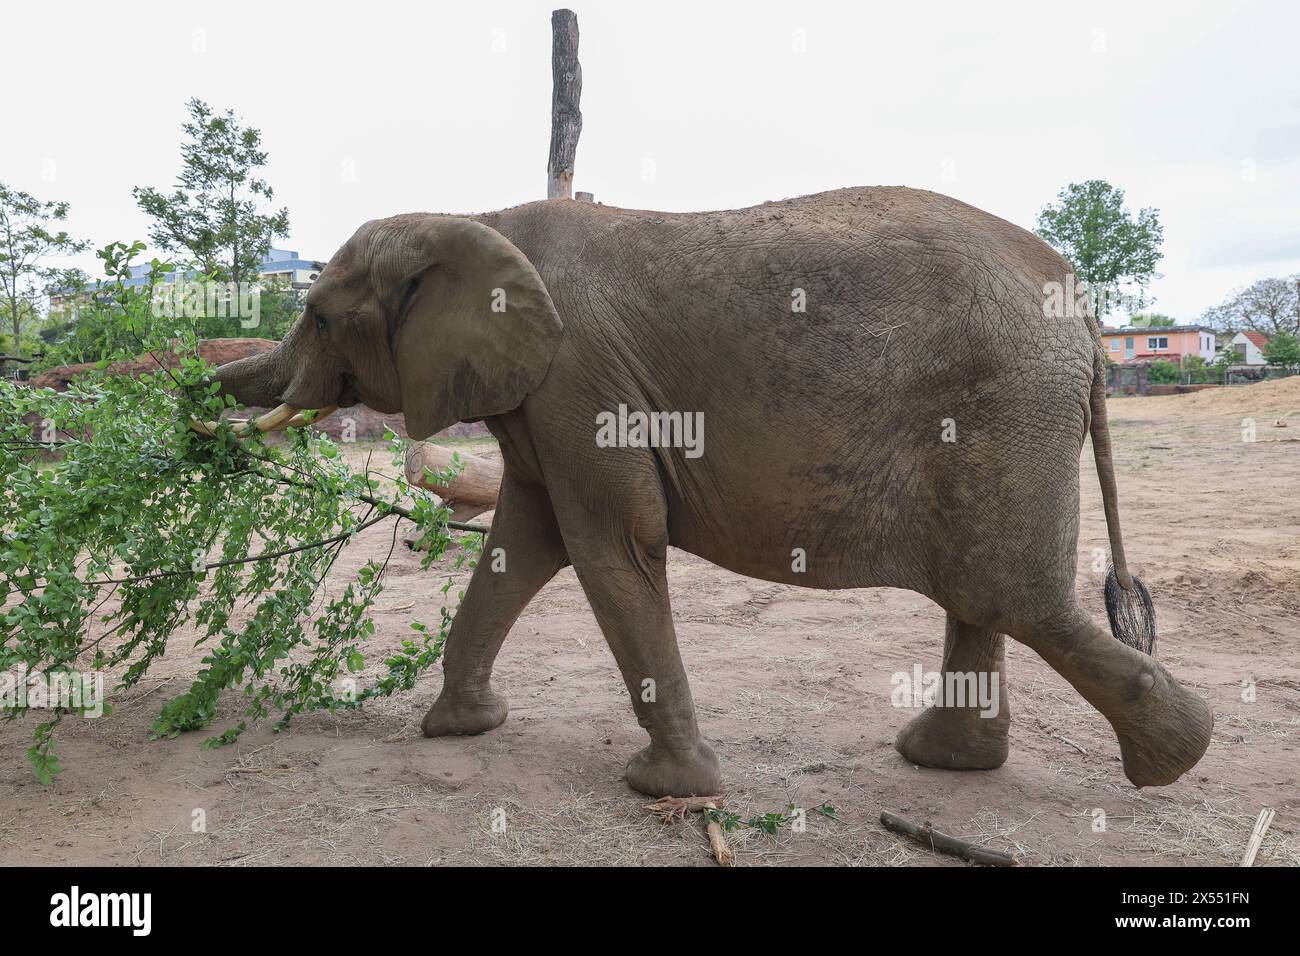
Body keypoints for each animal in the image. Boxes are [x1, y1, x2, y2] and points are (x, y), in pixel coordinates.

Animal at [212, 186, 1213, 797]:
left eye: (317, 316)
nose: (192, 412)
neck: (474, 214)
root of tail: (1084, 312)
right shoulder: (545, 398)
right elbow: (523, 545)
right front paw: (461, 730)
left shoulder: (582, 380)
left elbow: (611, 543)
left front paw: (667, 789)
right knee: (984, 592)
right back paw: (947, 763)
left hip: (1006, 410)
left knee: (1010, 593)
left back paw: (1174, 757)